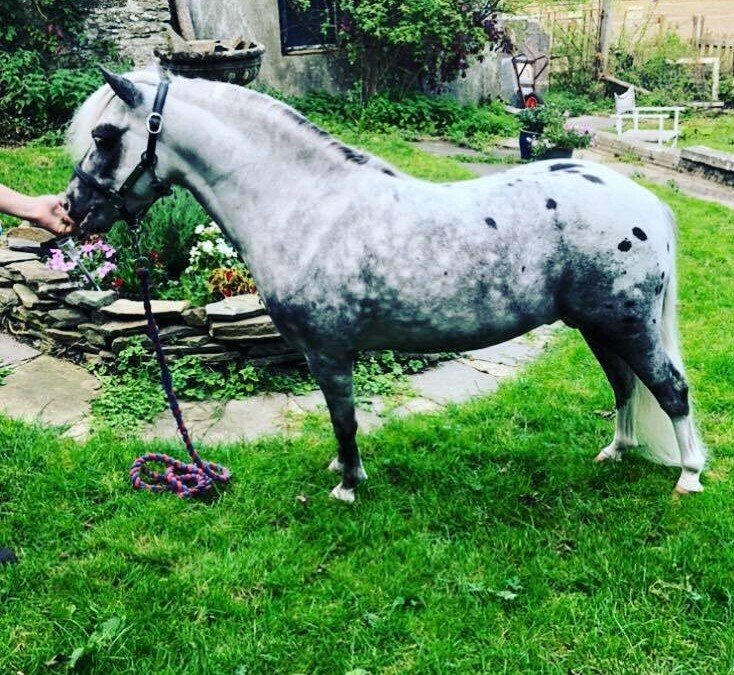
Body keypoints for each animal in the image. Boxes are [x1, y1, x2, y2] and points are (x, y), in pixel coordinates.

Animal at [65, 68, 706, 503]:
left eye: (105, 136)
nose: (73, 210)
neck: (305, 204)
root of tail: (643, 201)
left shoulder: (328, 352)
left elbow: (343, 418)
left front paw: (348, 484)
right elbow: (339, 419)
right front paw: (340, 471)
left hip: (626, 324)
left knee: (670, 389)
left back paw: (689, 476)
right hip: (599, 326)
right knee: (625, 386)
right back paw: (616, 451)